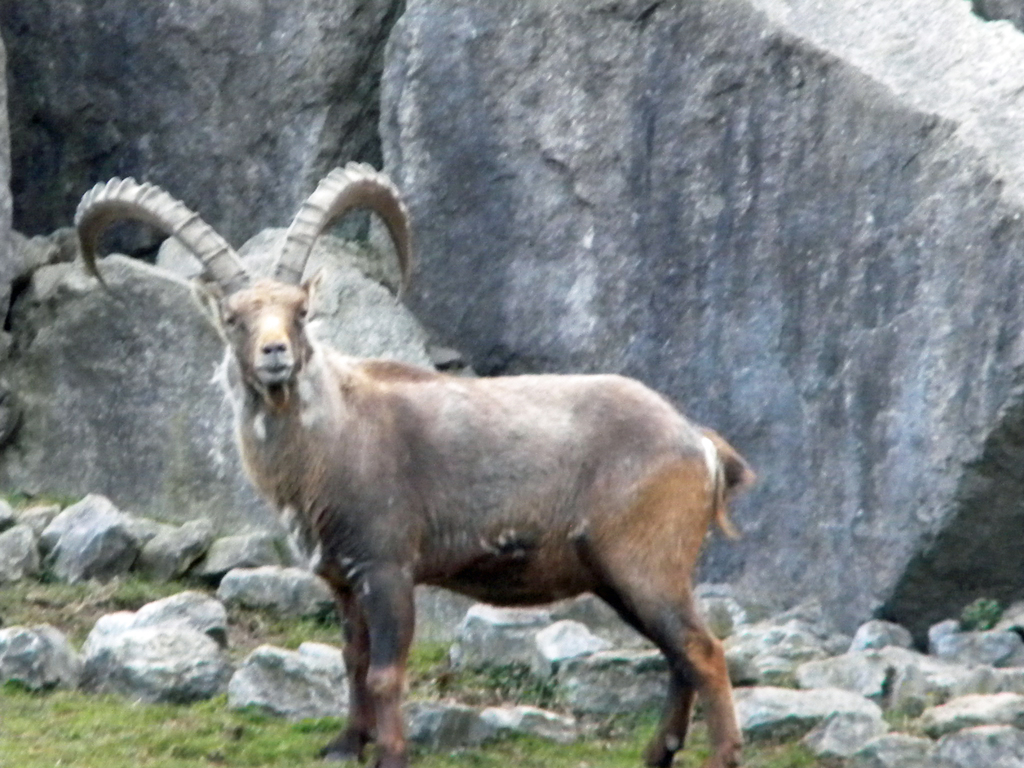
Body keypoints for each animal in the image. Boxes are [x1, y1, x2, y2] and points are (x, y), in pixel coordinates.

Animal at [75, 163, 754, 768]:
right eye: (234, 318)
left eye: (300, 311)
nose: (275, 353)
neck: (334, 438)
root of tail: (697, 440)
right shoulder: (343, 579)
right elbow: (351, 660)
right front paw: (345, 746)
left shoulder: (388, 566)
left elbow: (384, 672)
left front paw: (392, 754)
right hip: (619, 577)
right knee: (679, 657)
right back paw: (658, 754)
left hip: (645, 562)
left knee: (704, 651)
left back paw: (720, 757)